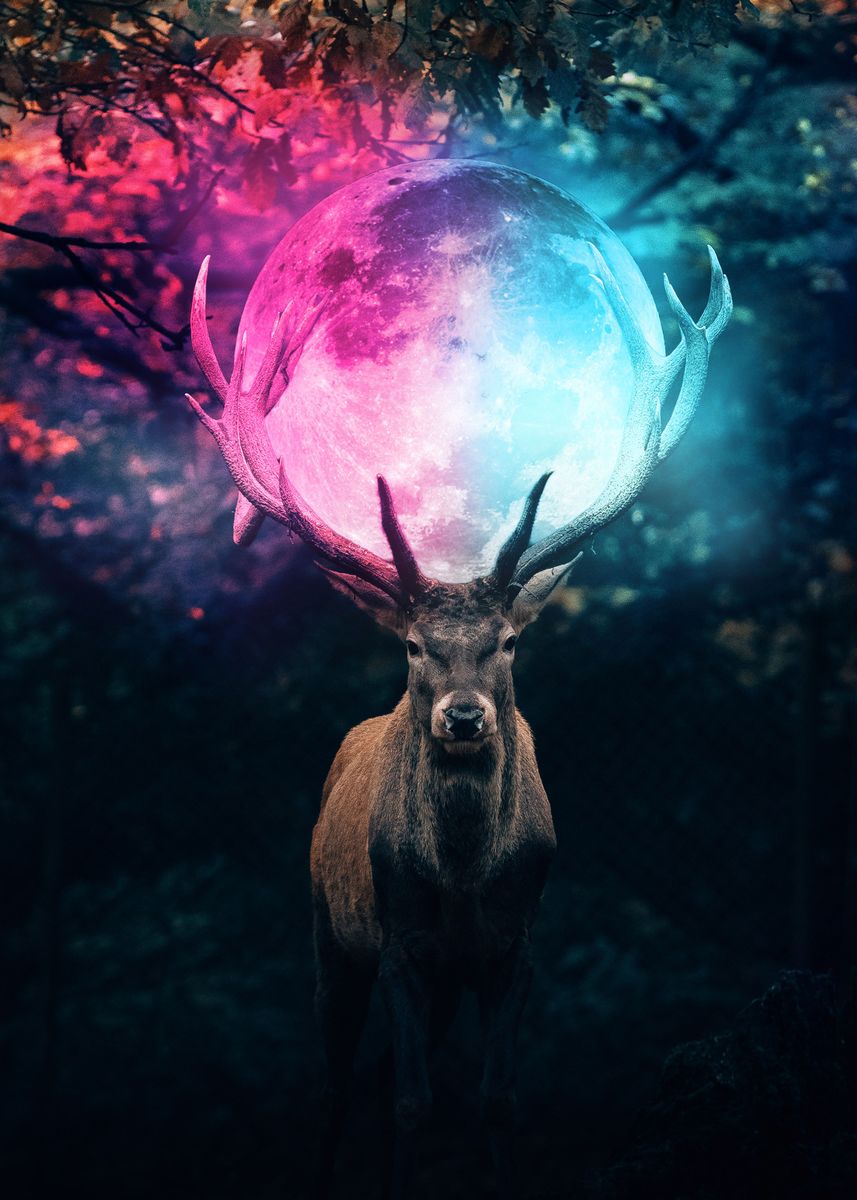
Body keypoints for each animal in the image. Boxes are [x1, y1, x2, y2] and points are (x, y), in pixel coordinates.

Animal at [185, 243, 731, 1198]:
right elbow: (412, 1103)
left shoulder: (516, 949)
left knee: (373, 1078)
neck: (468, 878)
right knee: (337, 1081)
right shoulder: (401, 942)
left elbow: (495, 1101)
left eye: (508, 641)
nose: (464, 718)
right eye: (411, 646)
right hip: (327, 931)